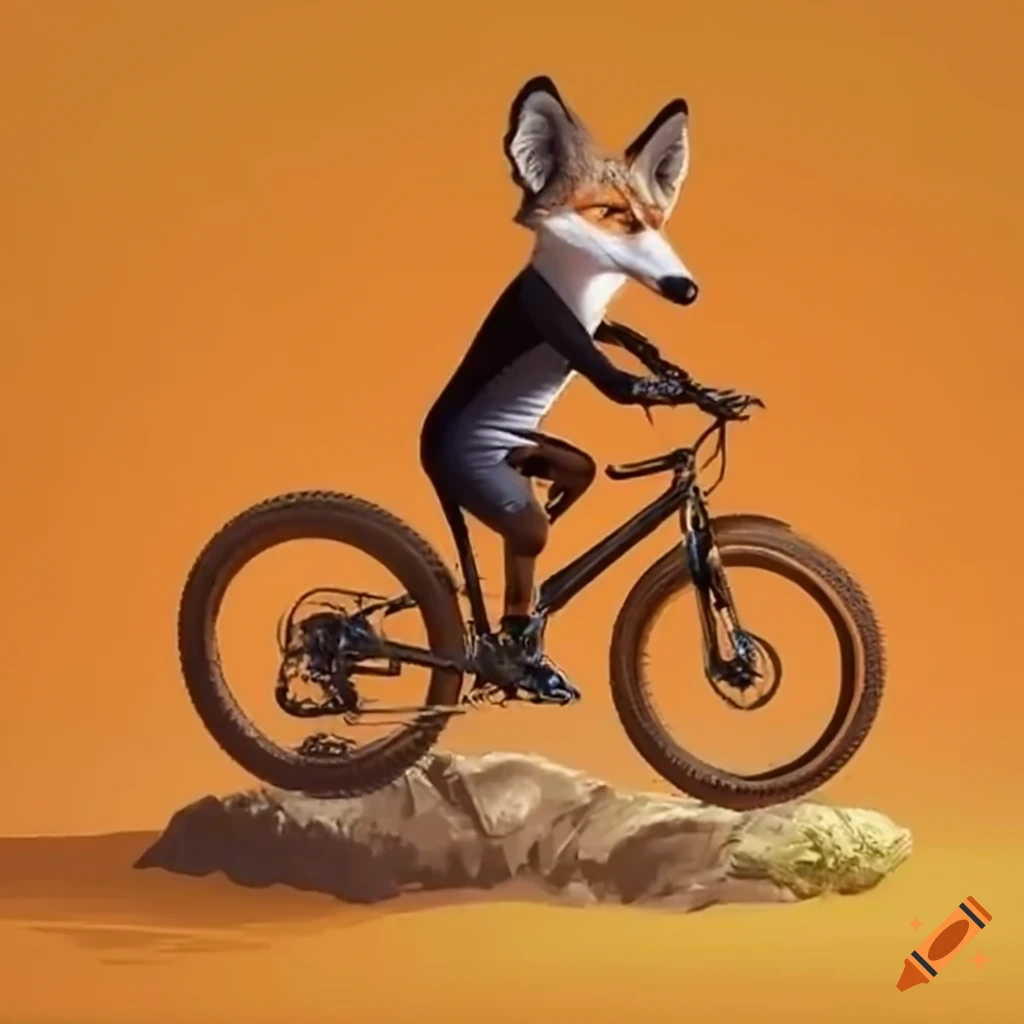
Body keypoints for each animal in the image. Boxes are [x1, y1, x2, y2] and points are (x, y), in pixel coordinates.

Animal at [420, 75, 752, 705]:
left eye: (656, 218)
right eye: (612, 215)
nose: (687, 289)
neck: (582, 287)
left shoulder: (595, 325)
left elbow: (626, 343)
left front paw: (702, 390)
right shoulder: (550, 313)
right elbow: (616, 380)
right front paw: (738, 660)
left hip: (525, 449)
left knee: (570, 477)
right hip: (470, 469)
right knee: (526, 532)